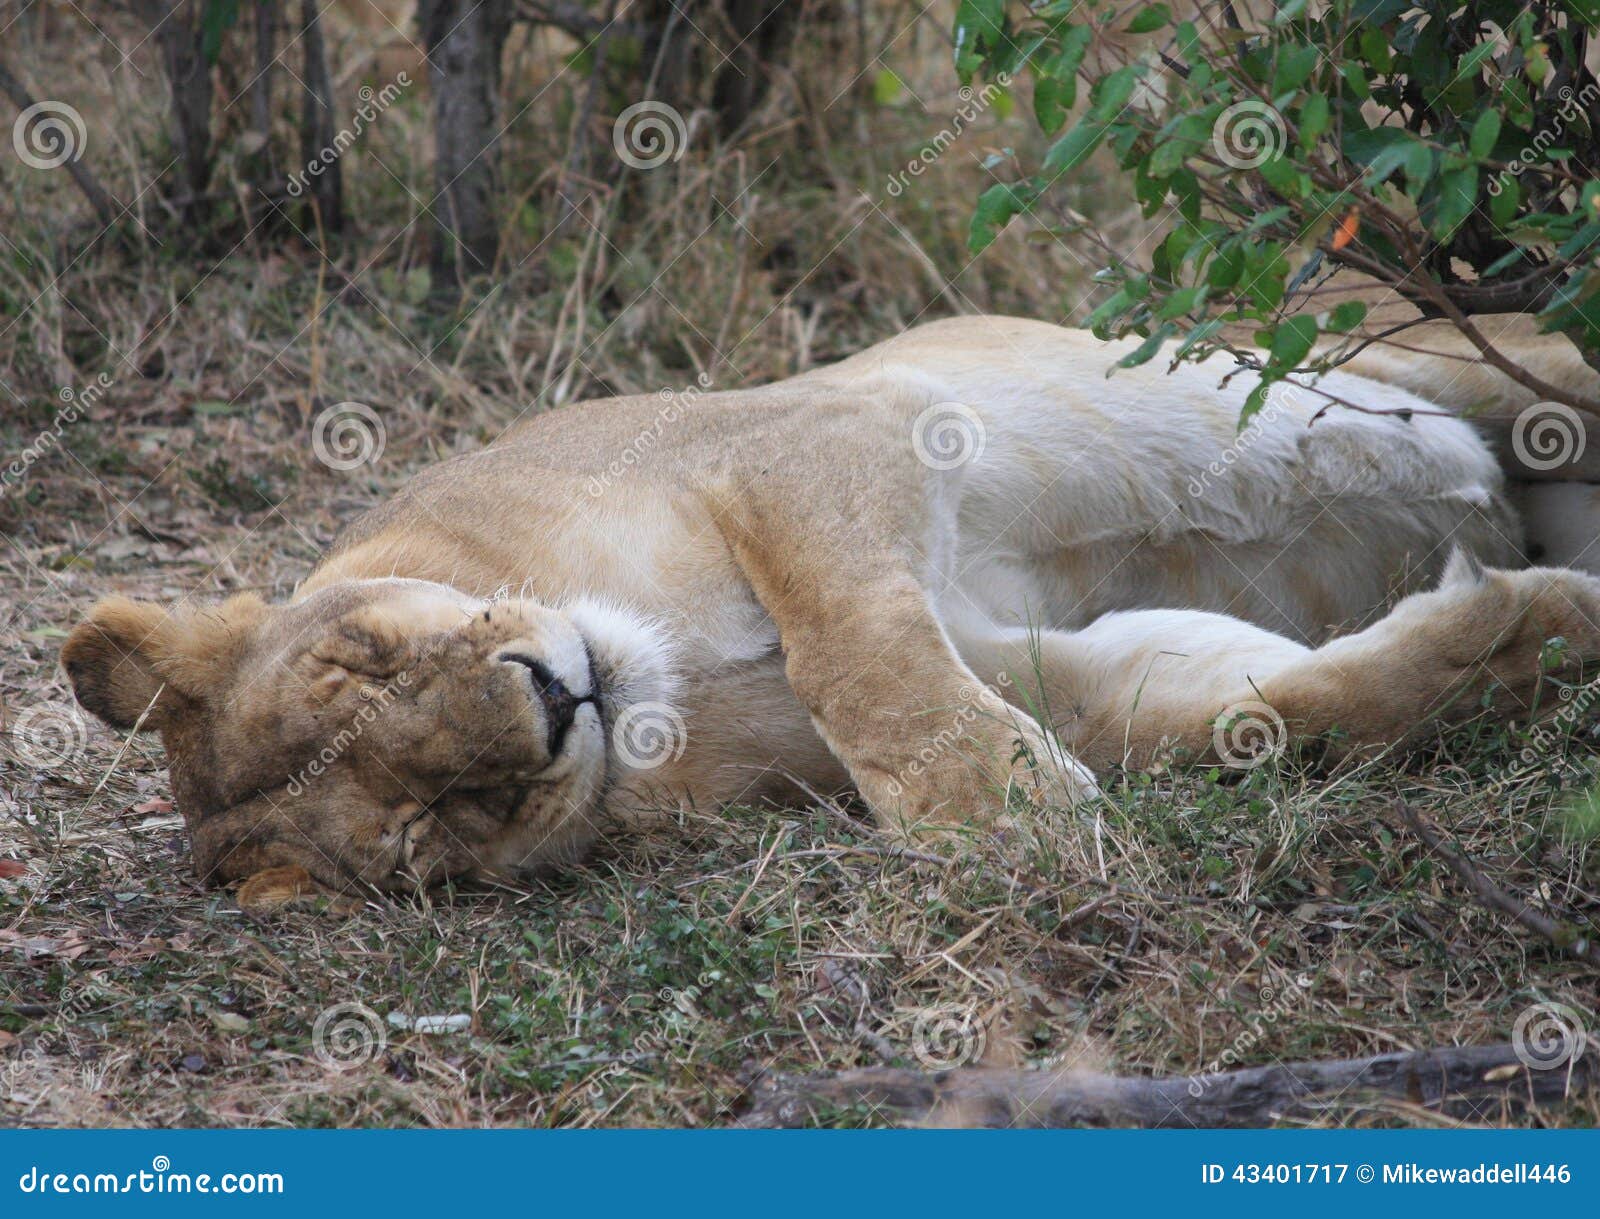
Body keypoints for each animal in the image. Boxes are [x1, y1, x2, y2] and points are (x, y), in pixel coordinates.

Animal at [62, 315, 1600, 900]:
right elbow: (1273, 708)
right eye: (426, 824)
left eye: (369, 657)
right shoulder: (1045, 663)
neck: (665, 680)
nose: (551, 704)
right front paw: (1532, 635)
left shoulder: (812, 433)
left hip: (1466, 356)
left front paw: (998, 818)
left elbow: (849, 644)